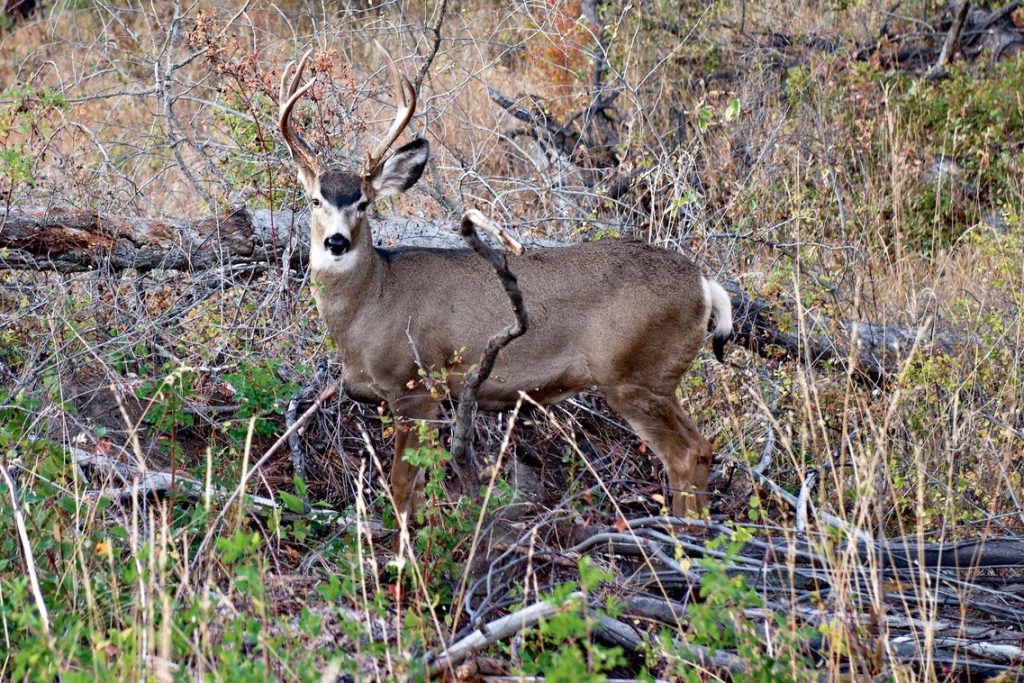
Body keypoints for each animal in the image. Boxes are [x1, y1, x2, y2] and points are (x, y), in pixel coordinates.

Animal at [277, 47, 733, 532]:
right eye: (315, 200)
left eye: (363, 202)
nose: (336, 242)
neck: (372, 302)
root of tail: (704, 285)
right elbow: (418, 493)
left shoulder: (416, 386)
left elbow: (401, 488)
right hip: (653, 379)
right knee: (699, 450)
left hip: (635, 374)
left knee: (688, 453)